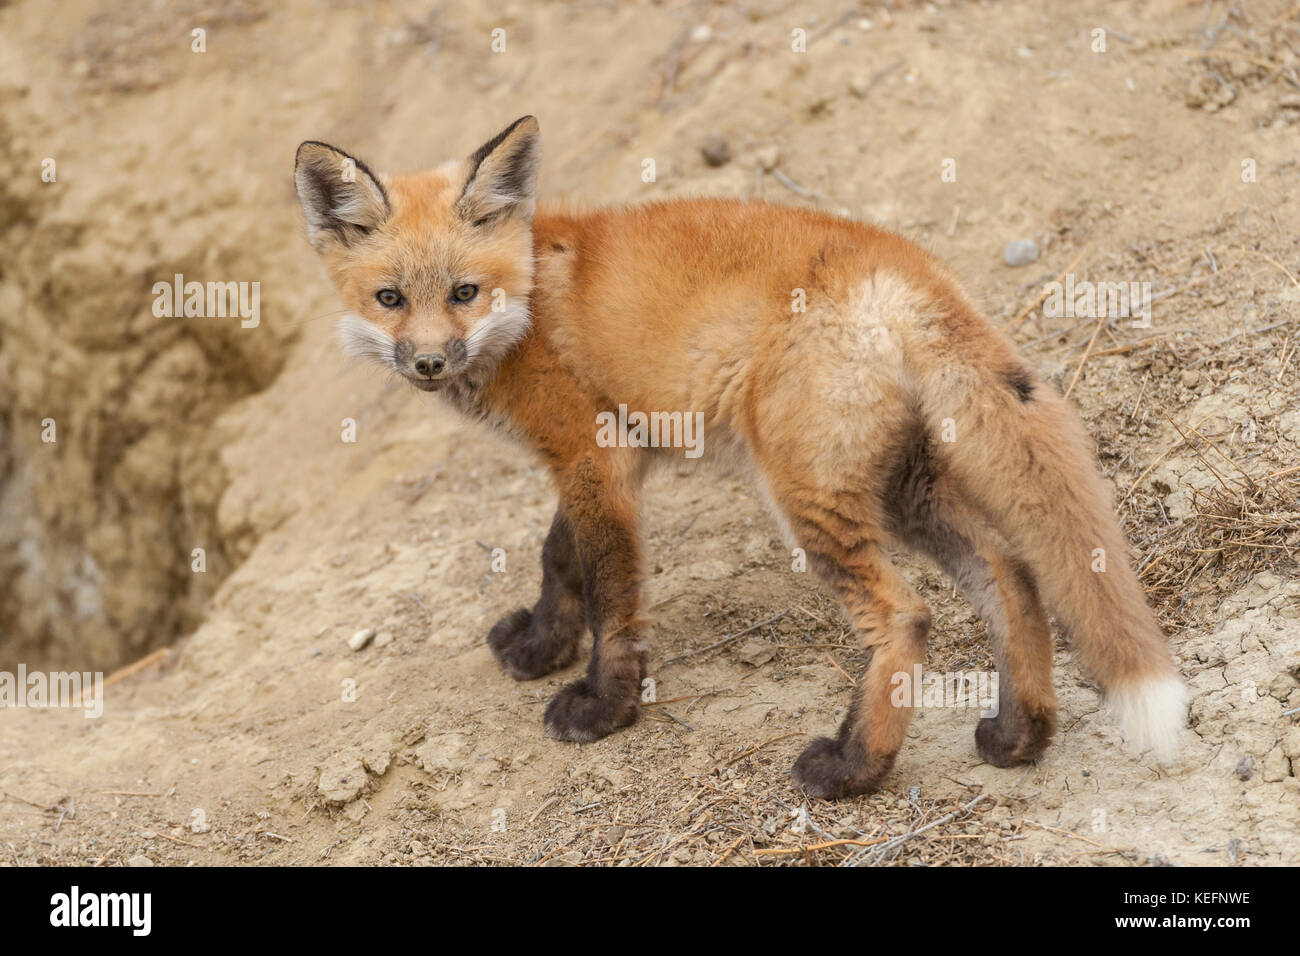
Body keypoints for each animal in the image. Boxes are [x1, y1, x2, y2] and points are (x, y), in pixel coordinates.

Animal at [293, 116, 1187, 799]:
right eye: (390, 299)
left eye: (463, 294)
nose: (427, 363)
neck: (532, 304)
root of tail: (899, 262)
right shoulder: (606, 458)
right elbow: (559, 560)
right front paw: (543, 647)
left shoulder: (594, 457)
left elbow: (612, 596)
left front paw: (603, 708)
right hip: (901, 487)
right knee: (1008, 573)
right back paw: (1019, 733)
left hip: (808, 495)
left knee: (906, 616)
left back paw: (855, 768)